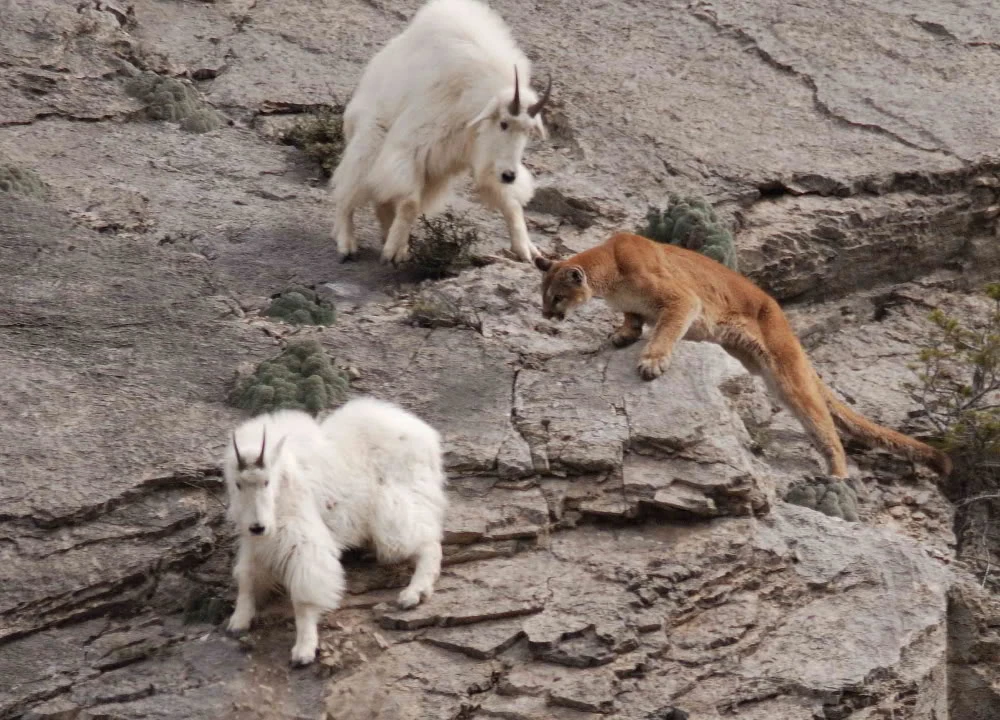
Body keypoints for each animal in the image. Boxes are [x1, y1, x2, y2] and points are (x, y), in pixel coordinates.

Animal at [222, 399, 447, 666]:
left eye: (266, 481)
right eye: (238, 484)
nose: (258, 526)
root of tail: (427, 437)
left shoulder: (302, 540)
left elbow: (304, 596)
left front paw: (304, 649)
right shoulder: (255, 542)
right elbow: (246, 575)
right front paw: (238, 620)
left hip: (397, 506)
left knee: (427, 543)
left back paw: (413, 593)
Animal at [330, 0, 552, 265]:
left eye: (528, 130)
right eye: (503, 123)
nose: (510, 175)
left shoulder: (481, 157)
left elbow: (510, 203)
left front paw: (527, 250)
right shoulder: (412, 147)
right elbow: (410, 203)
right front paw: (393, 253)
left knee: (381, 200)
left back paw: (387, 235)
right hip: (370, 139)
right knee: (348, 189)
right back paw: (347, 243)